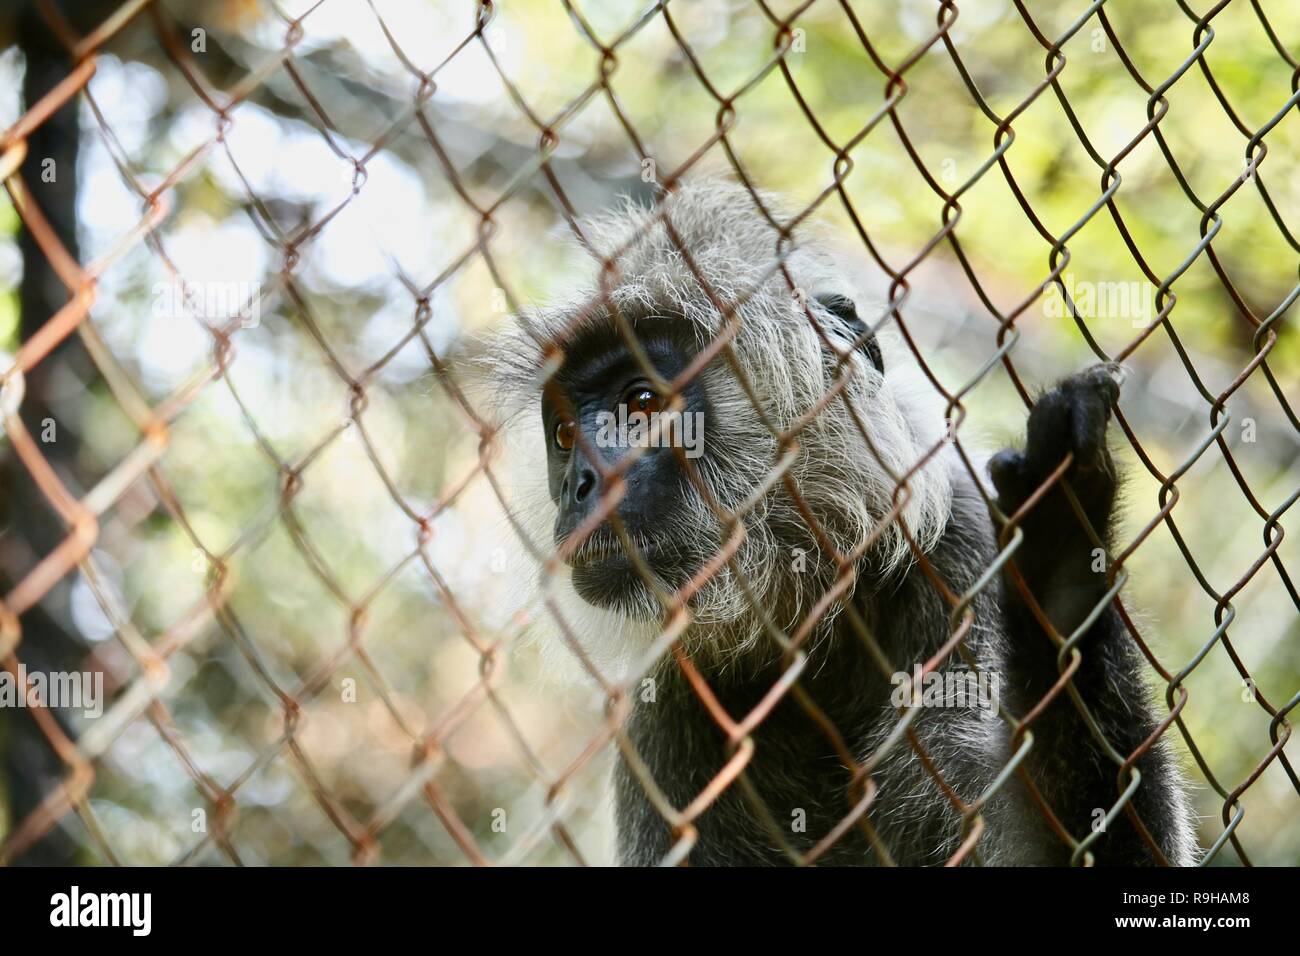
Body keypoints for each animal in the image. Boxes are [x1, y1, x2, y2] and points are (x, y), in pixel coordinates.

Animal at [469, 180, 1197, 866]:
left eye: (642, 403)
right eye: (565, 435)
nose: (581, 485)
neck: (818, 625)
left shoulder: (962, 562)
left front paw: (1064, 571)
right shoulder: (672, 696)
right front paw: (1063, 572)